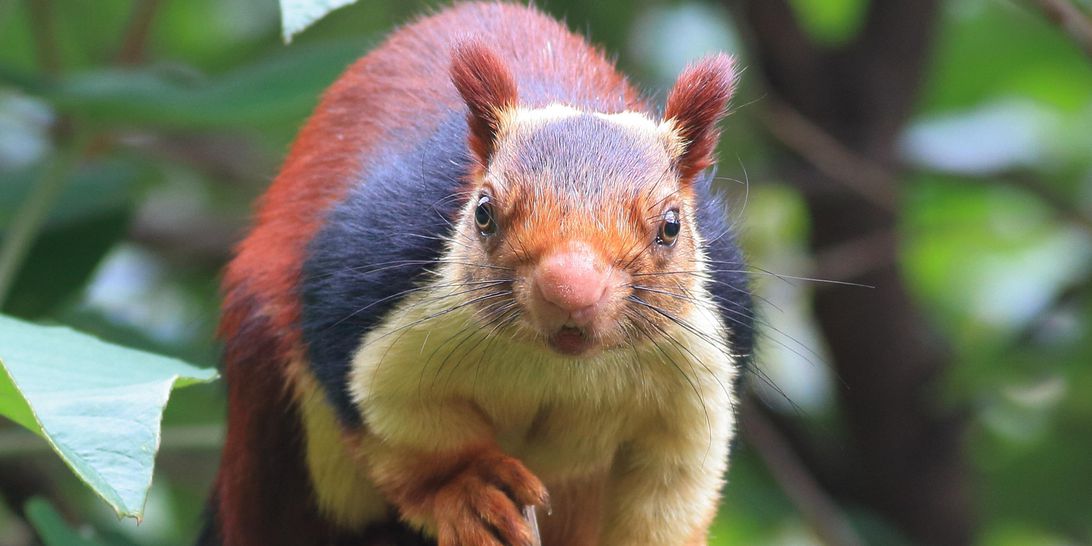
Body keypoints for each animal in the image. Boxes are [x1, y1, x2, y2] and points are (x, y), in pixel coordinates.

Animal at [201, 3, 753, 546]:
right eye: (483, 212)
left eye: (671, 226)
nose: (569, 290)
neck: (554, 363)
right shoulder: (365, 285)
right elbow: (392, 420)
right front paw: (467, 488)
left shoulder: (701, 375)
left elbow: (667, 496)